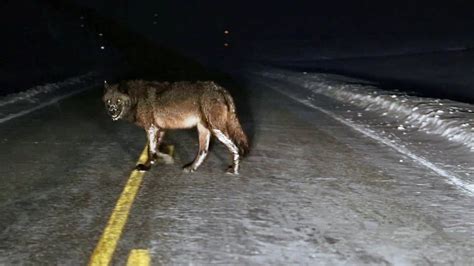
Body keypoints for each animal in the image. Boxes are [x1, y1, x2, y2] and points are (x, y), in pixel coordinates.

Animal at [102, 79, 250, 175]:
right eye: (109, 101)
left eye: (118, 101)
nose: (112, 112)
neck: (136, 98)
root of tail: (220, 89)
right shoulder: (159, 129)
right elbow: (154, 149)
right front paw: (160, 160)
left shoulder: (151, 128)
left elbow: (151, 150)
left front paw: (151, 165)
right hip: (204, 129)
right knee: (203, 151)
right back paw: (192, 168)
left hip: (216, 130)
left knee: (235, 148)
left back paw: (234, 170)